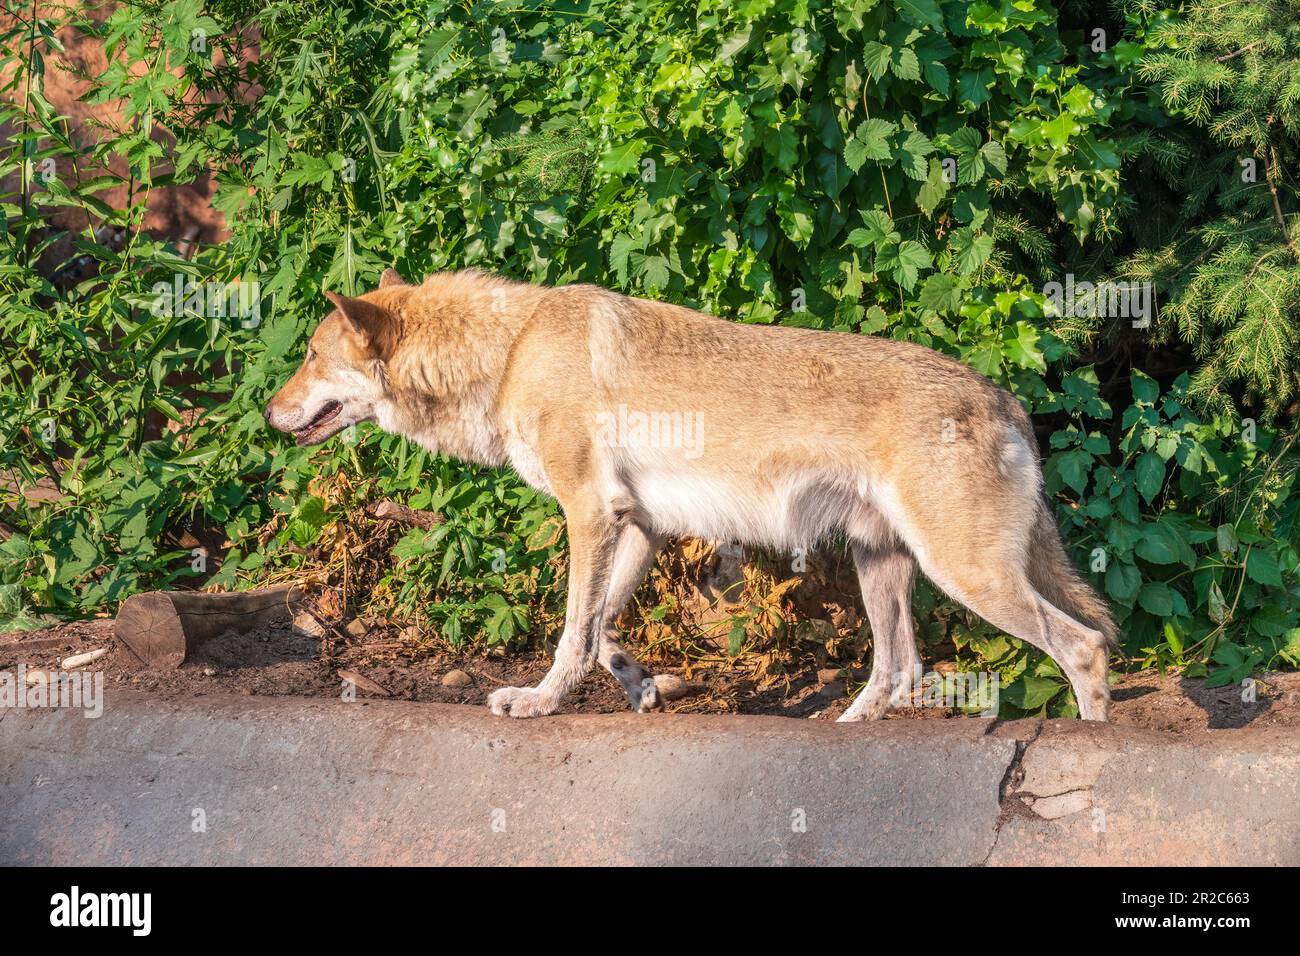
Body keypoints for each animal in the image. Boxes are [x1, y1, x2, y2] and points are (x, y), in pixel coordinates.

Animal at [266, 269, 1115, 721]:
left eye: (309, 356)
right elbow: (601, 628)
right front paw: (639, 686)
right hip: (884, 568)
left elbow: (570, 633)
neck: (509, 353)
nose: (269, 414)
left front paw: (539, 702)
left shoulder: (589, 514)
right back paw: (842, 729)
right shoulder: (637, 525)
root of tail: (1004, 397)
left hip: (967, 574)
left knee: (1083, 647)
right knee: (898, 670)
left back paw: (1089, 736)